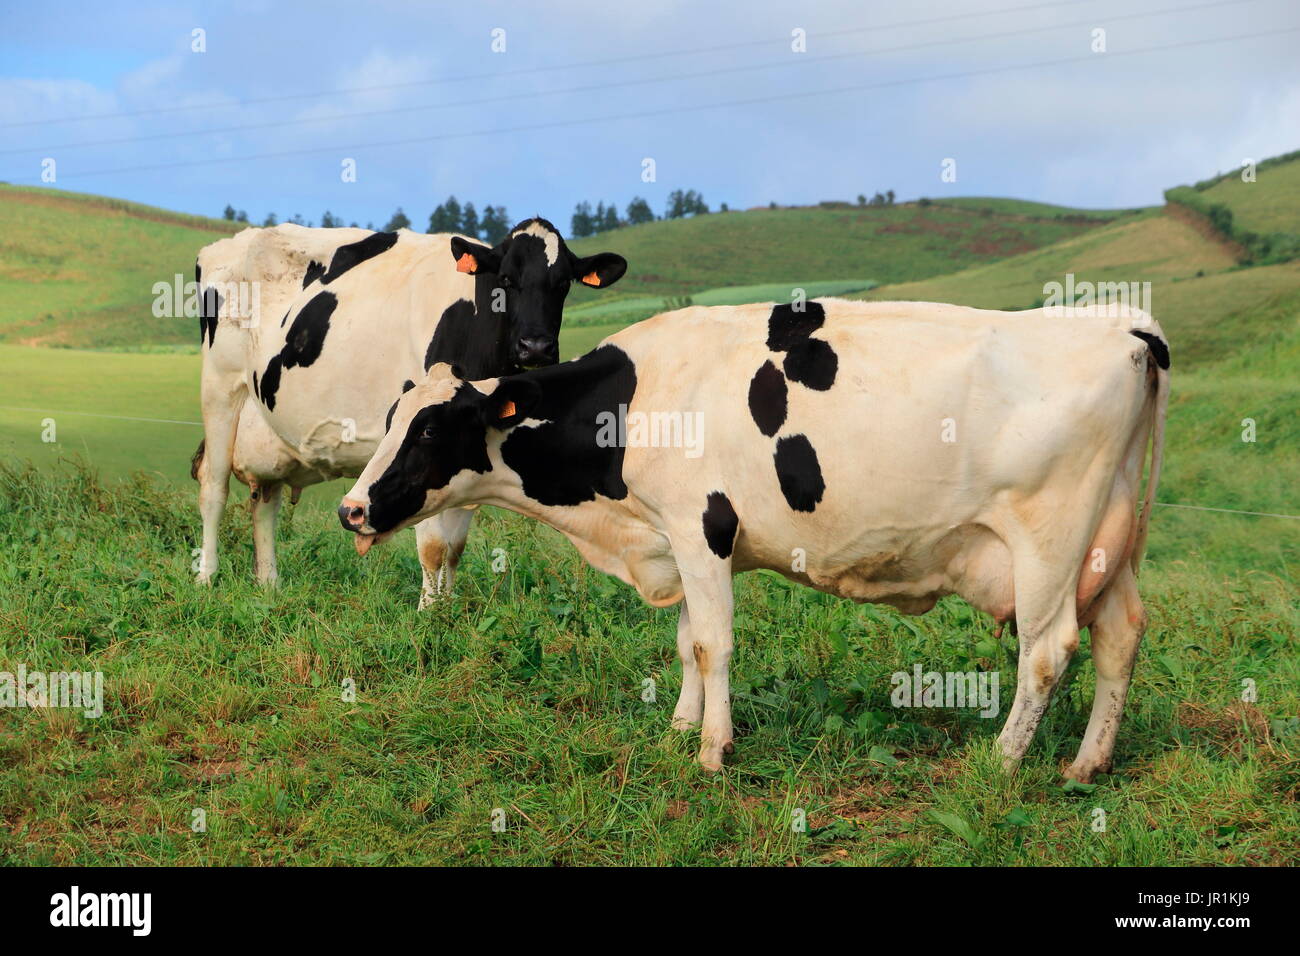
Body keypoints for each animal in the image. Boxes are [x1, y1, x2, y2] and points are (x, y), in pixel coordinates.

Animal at [192, 218, 627, 606]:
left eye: (563, 282)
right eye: (505, 279)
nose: (535, 346)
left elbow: (454, 546)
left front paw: (447, 610)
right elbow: (433, 544)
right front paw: (428, 615)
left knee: (265, 499)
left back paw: (269, 585)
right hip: (219, 386)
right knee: (214, 486)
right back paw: (206, 577)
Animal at [337, 298, 1170, 782]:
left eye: (432, 430)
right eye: (391, 417)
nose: (350, 509)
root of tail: (1122, 320)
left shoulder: (701, 527)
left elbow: (714, 644)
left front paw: (713, 749)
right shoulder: (678, 535)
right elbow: (686, 642)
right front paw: (679, 728)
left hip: (1049, 540)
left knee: (1047, 649)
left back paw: (1001, 761)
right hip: (1110, 542)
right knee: (1121, 636)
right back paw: (1087, 765)